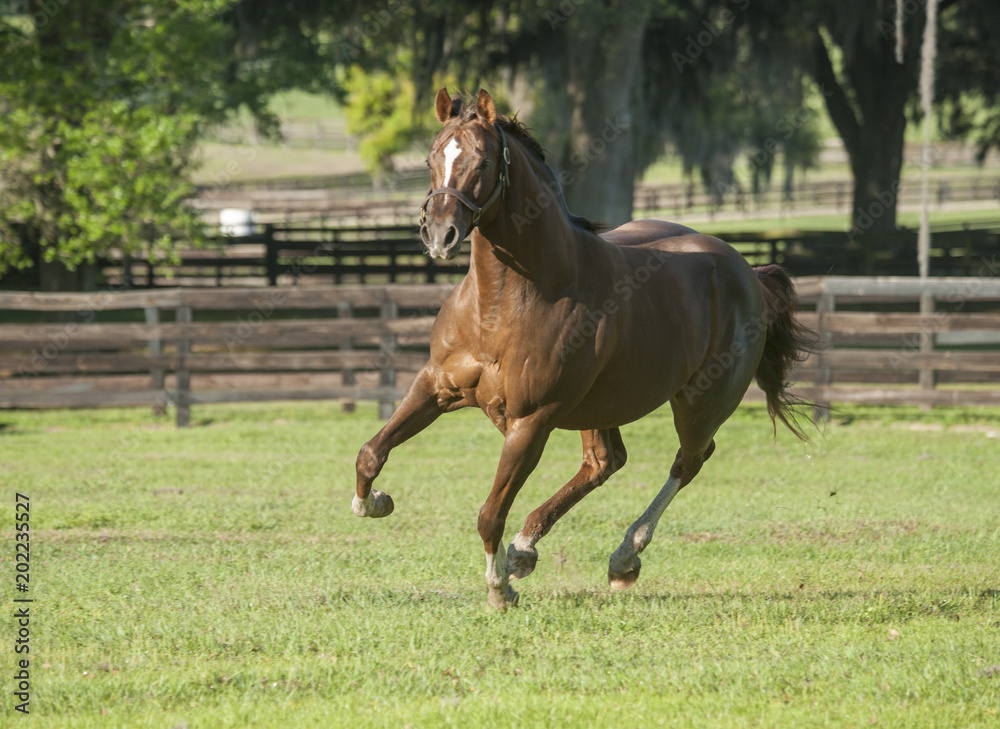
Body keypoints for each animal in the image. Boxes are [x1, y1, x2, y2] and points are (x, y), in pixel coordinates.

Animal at [352, 88, 815, 609]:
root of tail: (746, 271)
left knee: (688, 460)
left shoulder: (532, 421)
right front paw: (375, 502)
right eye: (432, 157)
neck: (506, 303)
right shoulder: (435, 386)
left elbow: (490, 513)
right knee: (605, 462)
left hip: (699, 404)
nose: (439, 234)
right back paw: (526, 549)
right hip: (600, 406)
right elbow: (371, 452)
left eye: (483, 159)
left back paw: (623, 558)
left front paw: (499, 589)